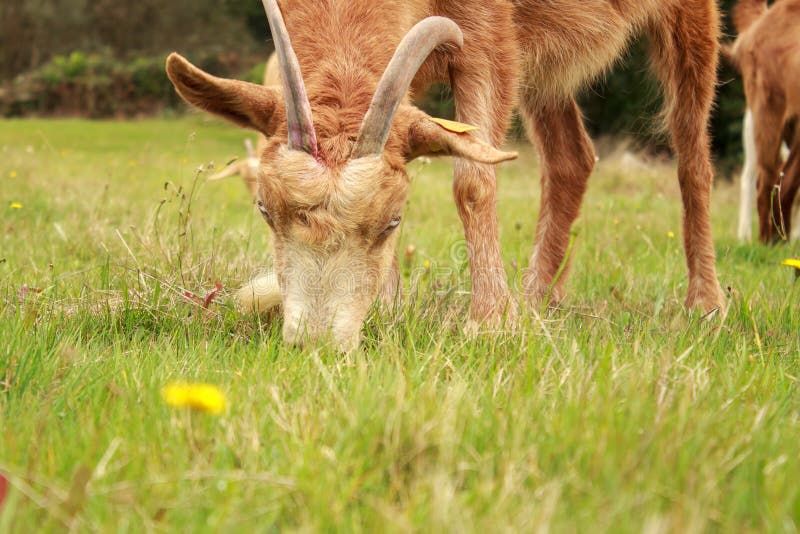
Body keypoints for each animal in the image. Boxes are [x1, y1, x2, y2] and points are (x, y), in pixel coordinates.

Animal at [167, 0, 725, 351]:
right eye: (265, 210)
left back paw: (706, 304)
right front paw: (389, 308)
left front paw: (491, 322)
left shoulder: (489, 37)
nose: (318, 344)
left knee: (693, 155)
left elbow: (474, 178)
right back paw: (535, 299)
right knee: (572, 156)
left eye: (393, 221)